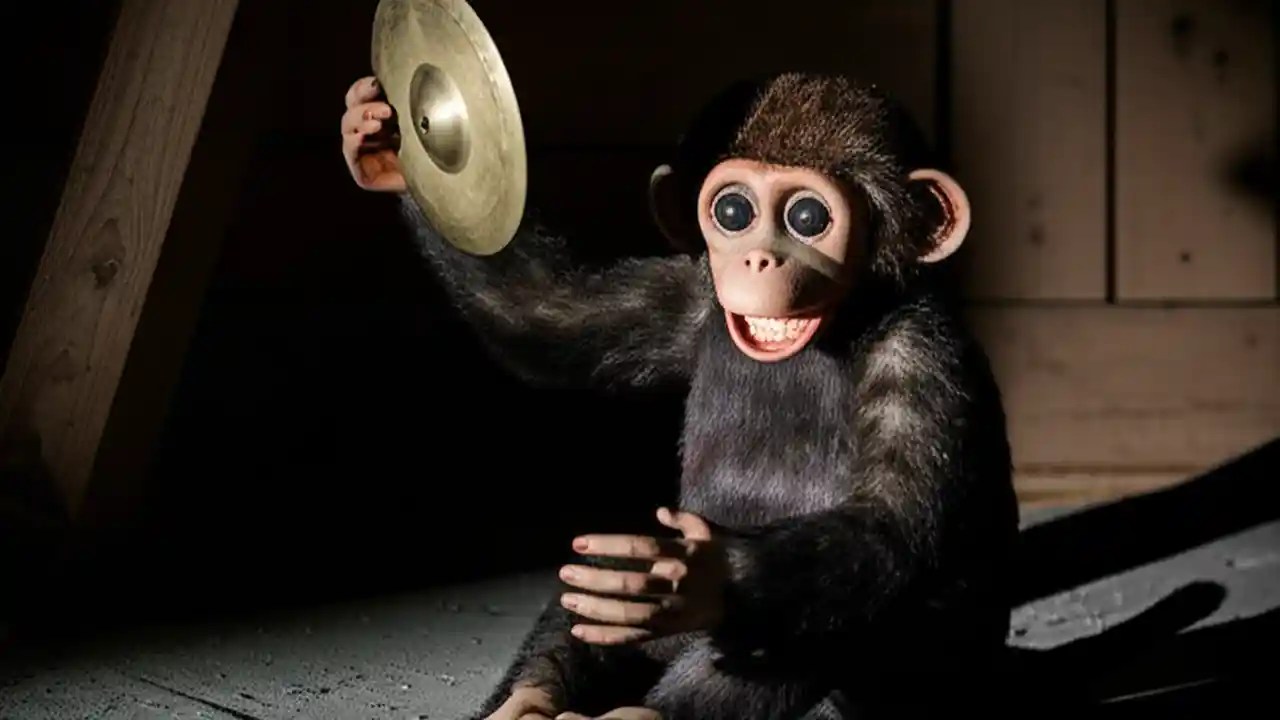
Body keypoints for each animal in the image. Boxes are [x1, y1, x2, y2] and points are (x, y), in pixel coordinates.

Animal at [341, 71, 1019, 719]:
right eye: (734, 211)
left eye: (808, 219)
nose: (759, 259)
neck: (843, 320)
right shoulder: (682, 297)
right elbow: (540, 310)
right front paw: (383, 145)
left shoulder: (922, 356)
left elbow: (894, 521)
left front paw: (703, 573)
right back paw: (532, 698)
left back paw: (635, 711)